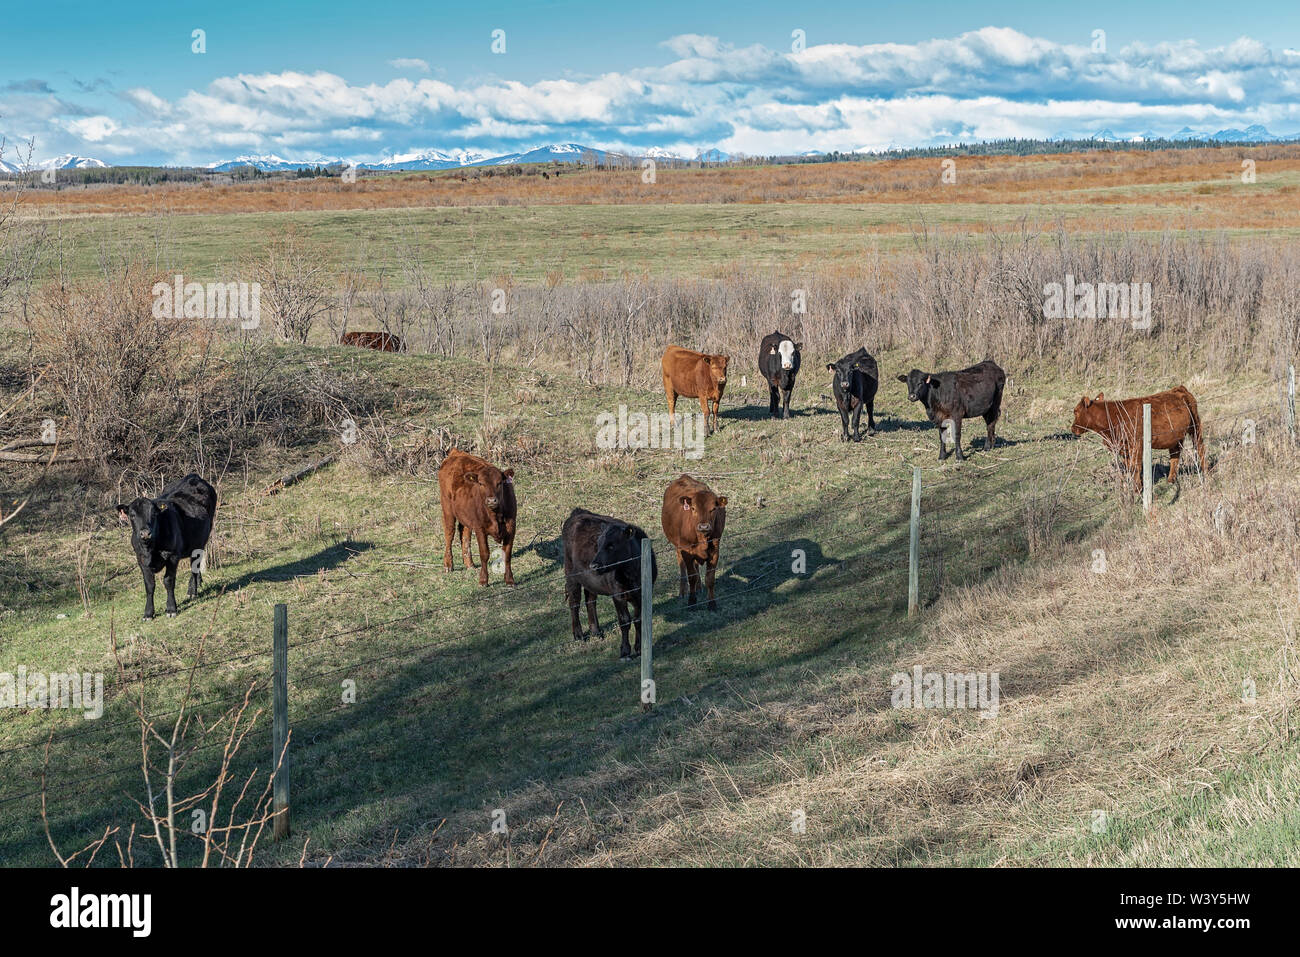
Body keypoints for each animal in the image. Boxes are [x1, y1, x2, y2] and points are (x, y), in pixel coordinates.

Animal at [116, 473, 217, 620]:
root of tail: (194, 476)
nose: (145, 533)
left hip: (201, 540)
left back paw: (192, 590)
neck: (150, 549)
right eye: (132, 515)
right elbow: (149, 585)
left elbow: (168, 581)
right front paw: (148, 613)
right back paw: (198, 582)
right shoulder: (141, 560)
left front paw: (171, 608)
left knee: (195, 564)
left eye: (154, 514)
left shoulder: (172, 556)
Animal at [438, 448, 516, 586]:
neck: (496, 515)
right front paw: (483, 580)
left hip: (466, 517)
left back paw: (469, 564)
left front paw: (509, 580)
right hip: (447, 509)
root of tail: (456, 453)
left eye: (499, 483)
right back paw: (448, 565)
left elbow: (507, 554)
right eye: (481, 483)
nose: (491, 500)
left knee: (465, 536)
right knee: (449, 534)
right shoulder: (480, 529)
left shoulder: (511, 528)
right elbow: (484, 553)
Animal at [561, 508, 657, 659]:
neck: (632, 574)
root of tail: (578, 512)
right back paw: (579, 635)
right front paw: (625, 651)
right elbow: (624, 621)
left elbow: (638, 619)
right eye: (598, 544)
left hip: (590, 582)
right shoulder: (617, 595)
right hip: (571, 575)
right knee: (574, 603)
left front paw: (639, 648)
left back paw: (596, 631)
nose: (593, 565)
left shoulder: (642, 592)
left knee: (590, 601)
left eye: (611, 545)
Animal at [661, 474, 727, 612]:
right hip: (678, 546)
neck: (702, 539)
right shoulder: (686, 551)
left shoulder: (715, 551)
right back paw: (683, 591)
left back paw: (699, 587)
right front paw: (691, 601)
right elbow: (691, 576)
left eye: (713, 509)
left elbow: (710, 579)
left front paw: (712, 603)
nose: (703, 526)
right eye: (693, 508)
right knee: (682, 566)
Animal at [1070, 386, 1206, 489]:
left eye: (1076, 411)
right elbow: (1129, 467)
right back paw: (1171, 480)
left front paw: (1138, 489)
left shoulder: (1137, 445)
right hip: (1175, 437)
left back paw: (1205, 472)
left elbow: (1136, 466)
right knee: (1175, 455)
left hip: (1195, 426)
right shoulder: (1123, 448)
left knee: (1200, 448)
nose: (1072, 429)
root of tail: (1179, 388)